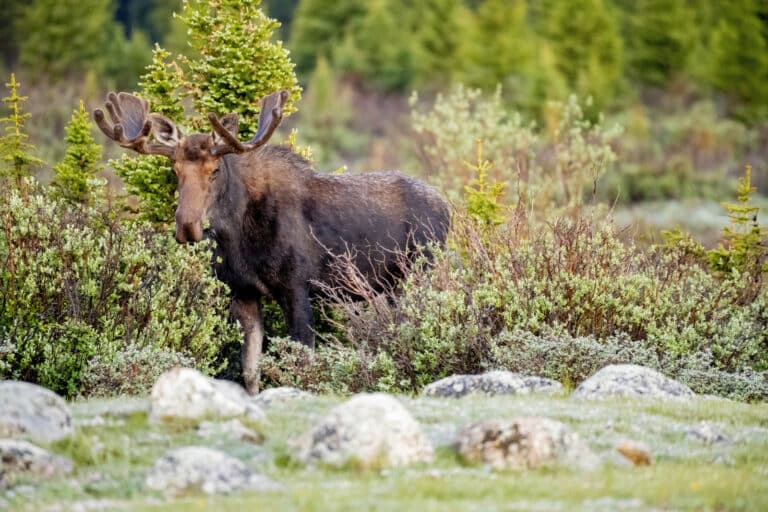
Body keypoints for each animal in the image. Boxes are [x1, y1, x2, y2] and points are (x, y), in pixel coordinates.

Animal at [93, 90, 450, 394]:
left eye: (215, 169)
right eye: (175, 168)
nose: (187, 225)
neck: (240, 240)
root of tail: (449, 209)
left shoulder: (297, 287)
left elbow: (303, 362)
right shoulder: (243, 292)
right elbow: (251, 369)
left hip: (419, 273)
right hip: (392, 286)